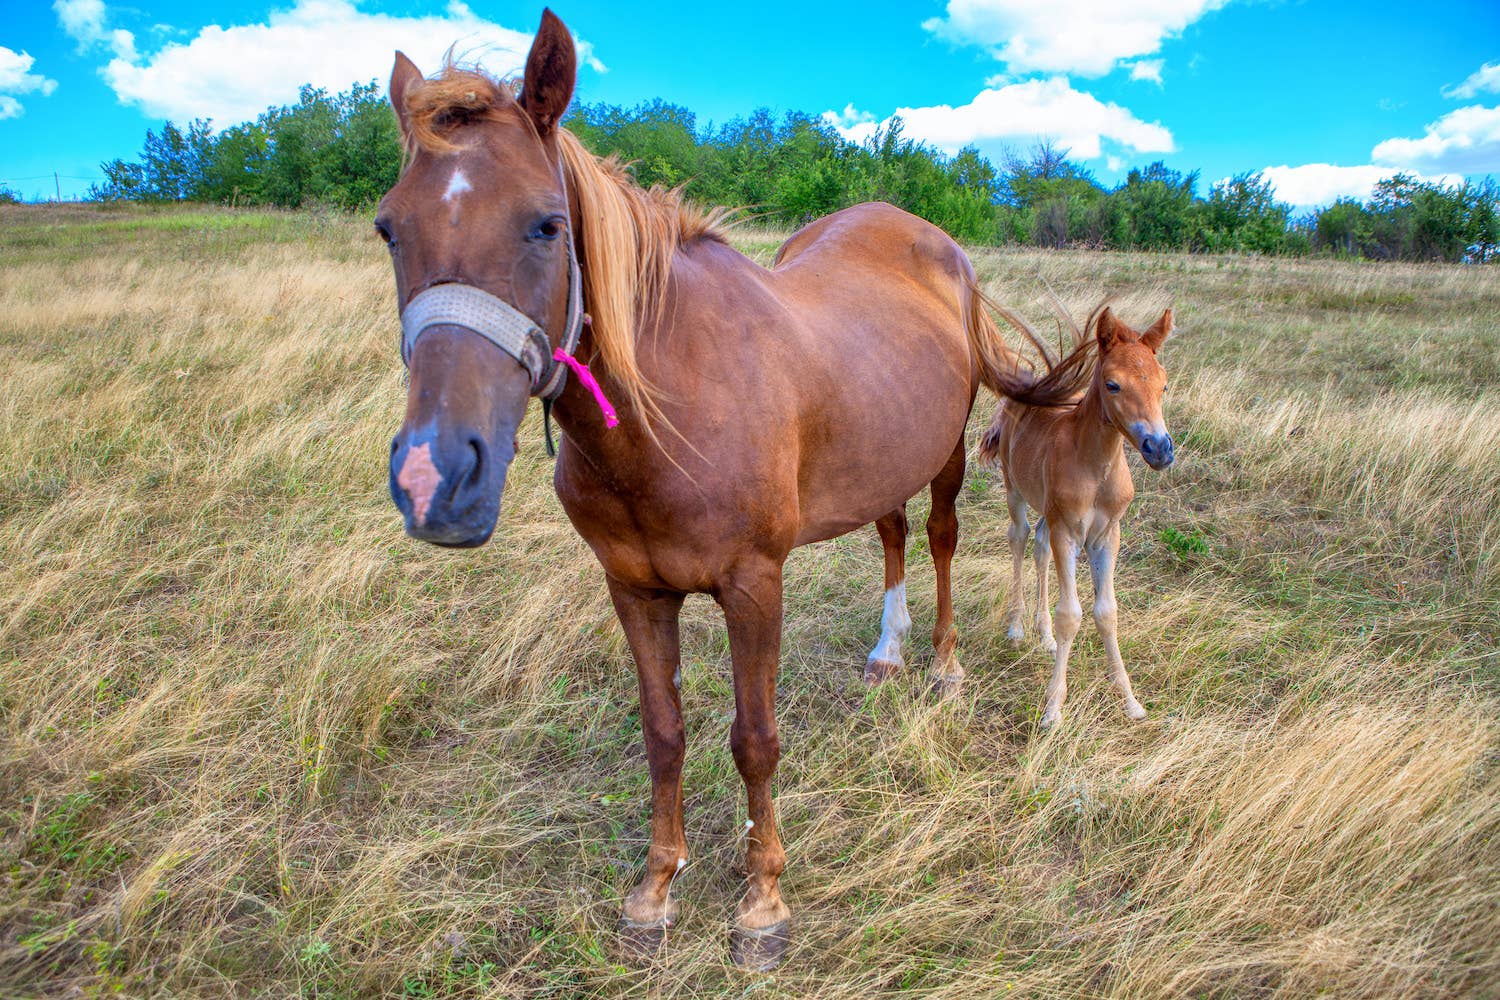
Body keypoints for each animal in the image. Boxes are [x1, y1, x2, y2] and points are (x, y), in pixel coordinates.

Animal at [377, 9, 1078, 969]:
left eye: (546, 226)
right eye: (388, 229)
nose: (434, 479)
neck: (667, 411)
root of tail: (935, 243)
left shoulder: (754, 585)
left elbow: (754, 740)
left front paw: (762, 902)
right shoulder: (634, 588)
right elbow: (664, 732)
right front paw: (654, 888)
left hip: (944, 458)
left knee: (937, 539)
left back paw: (940, 664)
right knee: (892, 535)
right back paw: (888, 651)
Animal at [977, 303, 1175, 730]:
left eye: (1164, 385)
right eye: (1113, 385)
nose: (1160, 449)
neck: (1095, 468)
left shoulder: (1106, 535)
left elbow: (1107, 613)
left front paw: (1130, 701)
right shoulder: (1068, 532)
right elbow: (1071, 614)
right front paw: (1053, 709)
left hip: (1049, 513)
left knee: (1038, 545)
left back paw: (1045, 636)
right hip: (1016, 490)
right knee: (1019, 537)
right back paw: (1017, 627)